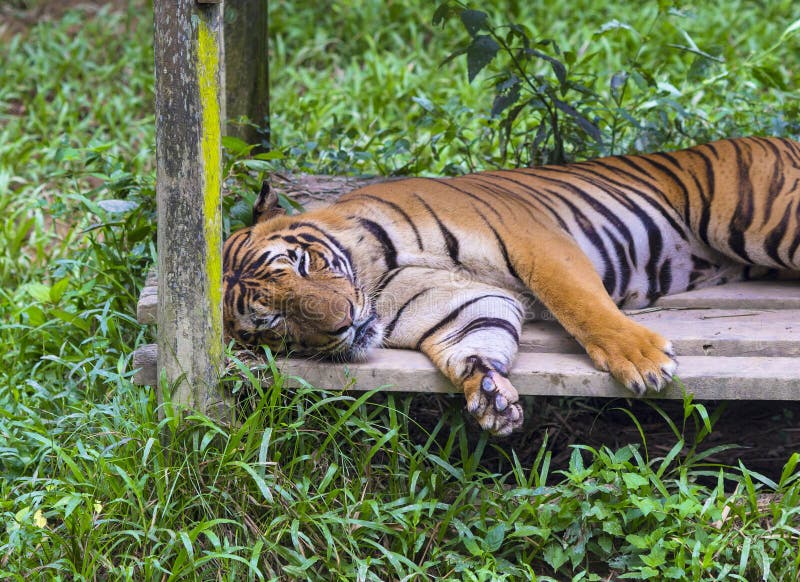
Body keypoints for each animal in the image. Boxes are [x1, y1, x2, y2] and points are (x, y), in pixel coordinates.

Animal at [223, 136, 800, 436]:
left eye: (302, 264)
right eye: (274, 321)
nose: (344, 323)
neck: (377, 271)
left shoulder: (535, 239)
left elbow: (580, 303)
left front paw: (640, 359)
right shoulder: (456, 301)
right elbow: (476, 336)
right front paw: (489, 396)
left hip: (760, 221)